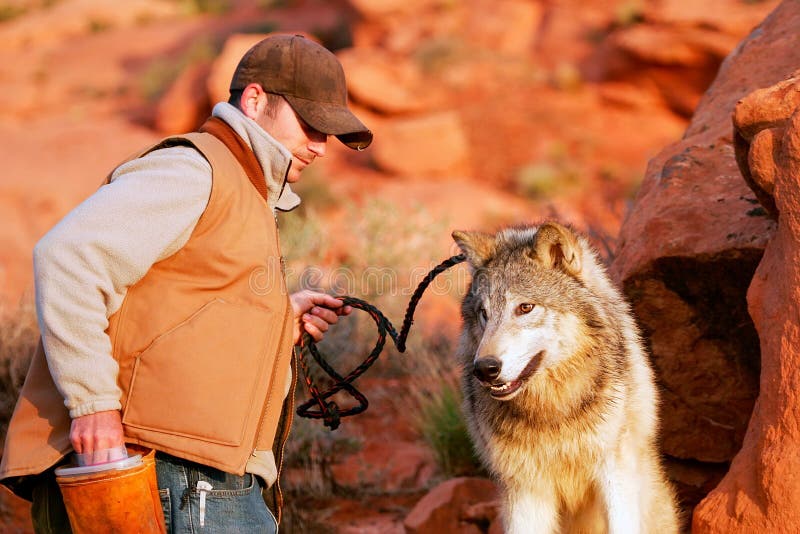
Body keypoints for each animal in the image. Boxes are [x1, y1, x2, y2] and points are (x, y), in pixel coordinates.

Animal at [452, 221, 679, 534]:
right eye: (483, 313)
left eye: (525, 308)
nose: (485, 369)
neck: (552, 414)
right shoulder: (524, 489)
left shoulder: (614, 471)